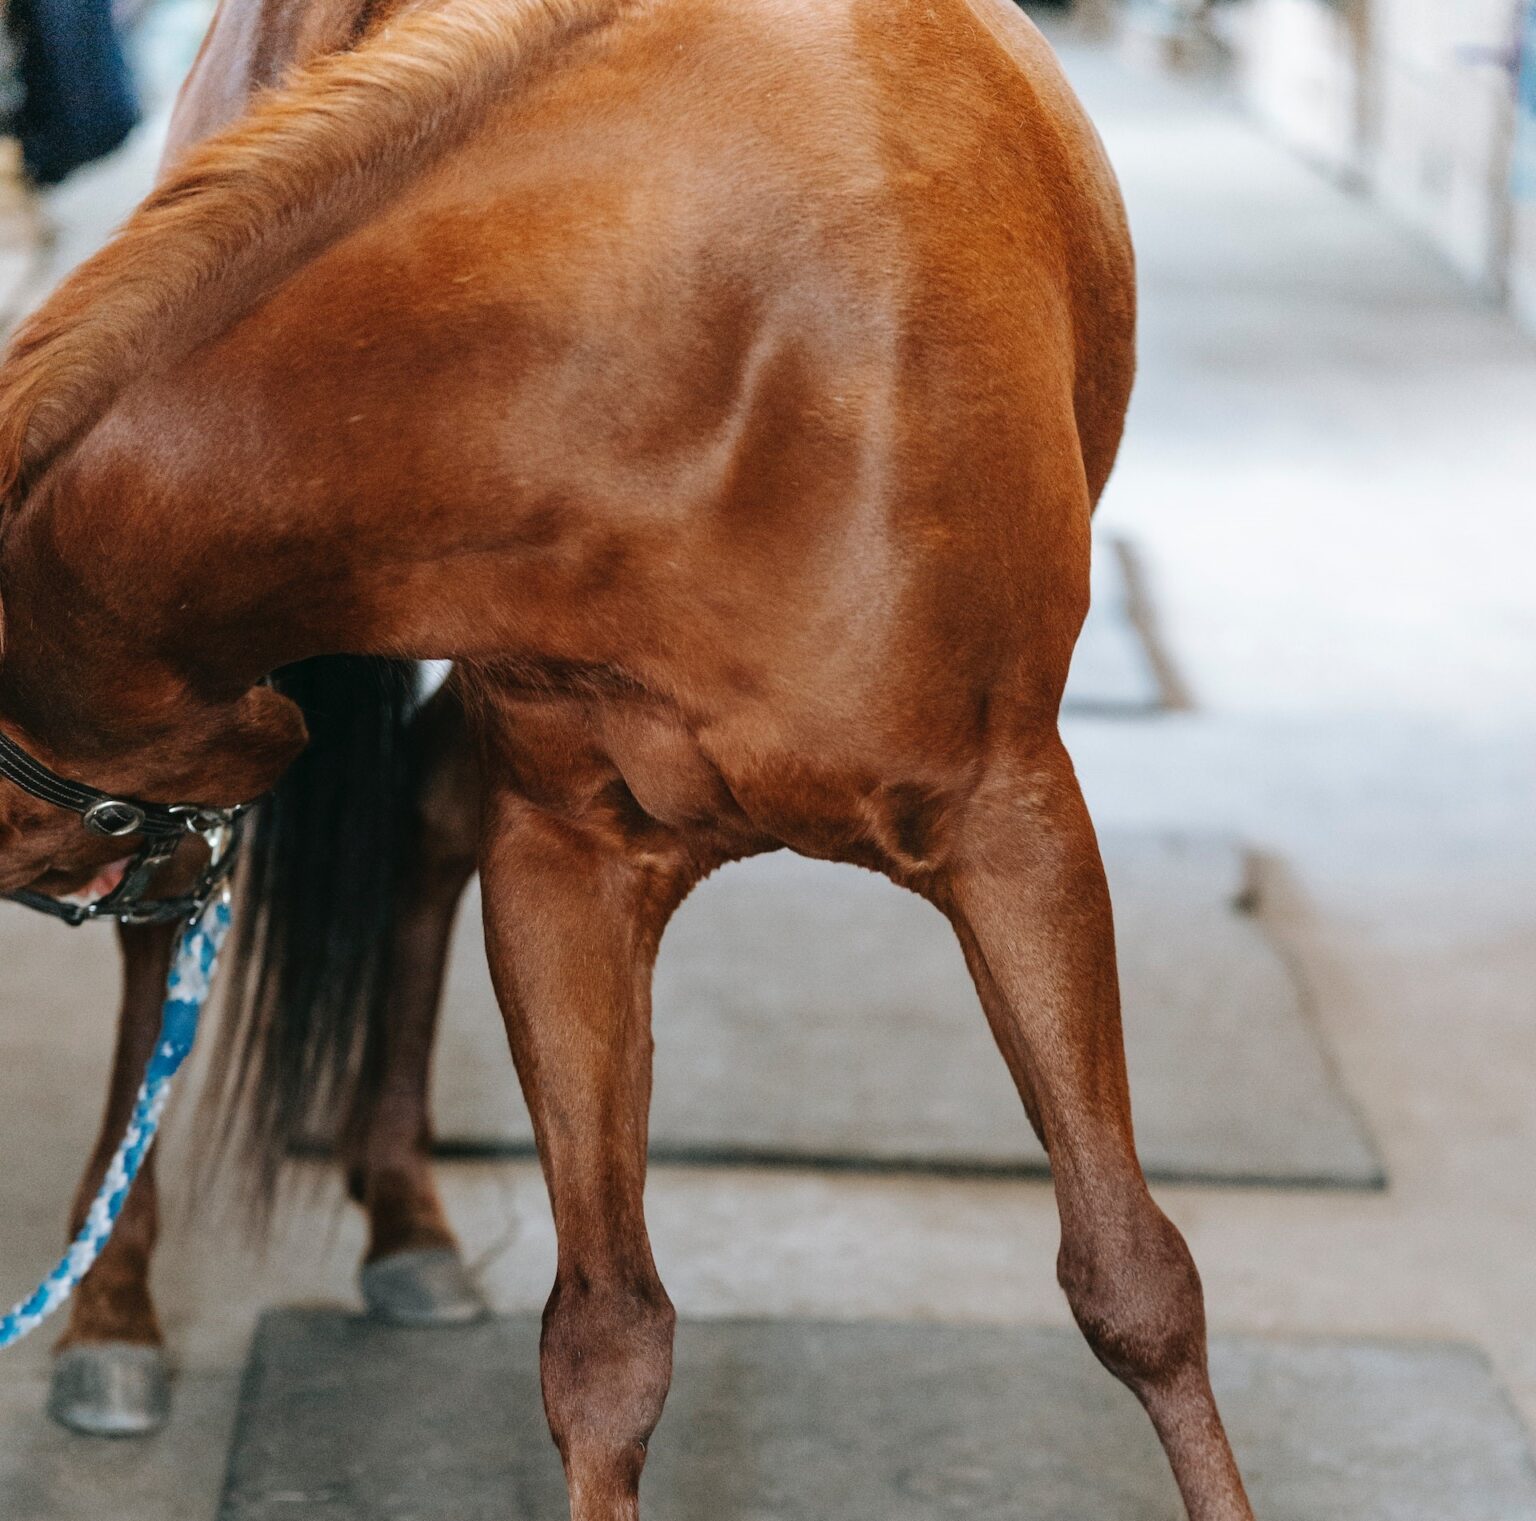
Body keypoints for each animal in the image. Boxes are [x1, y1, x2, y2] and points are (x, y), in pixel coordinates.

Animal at [0, 0, 1256, 1515]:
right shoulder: (566, 862)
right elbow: (606, 1344)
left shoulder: (1017, 833)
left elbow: (1137, 1283)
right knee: (186, 947)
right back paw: (114, 1313)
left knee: (408, 823)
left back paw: (404, 1225)